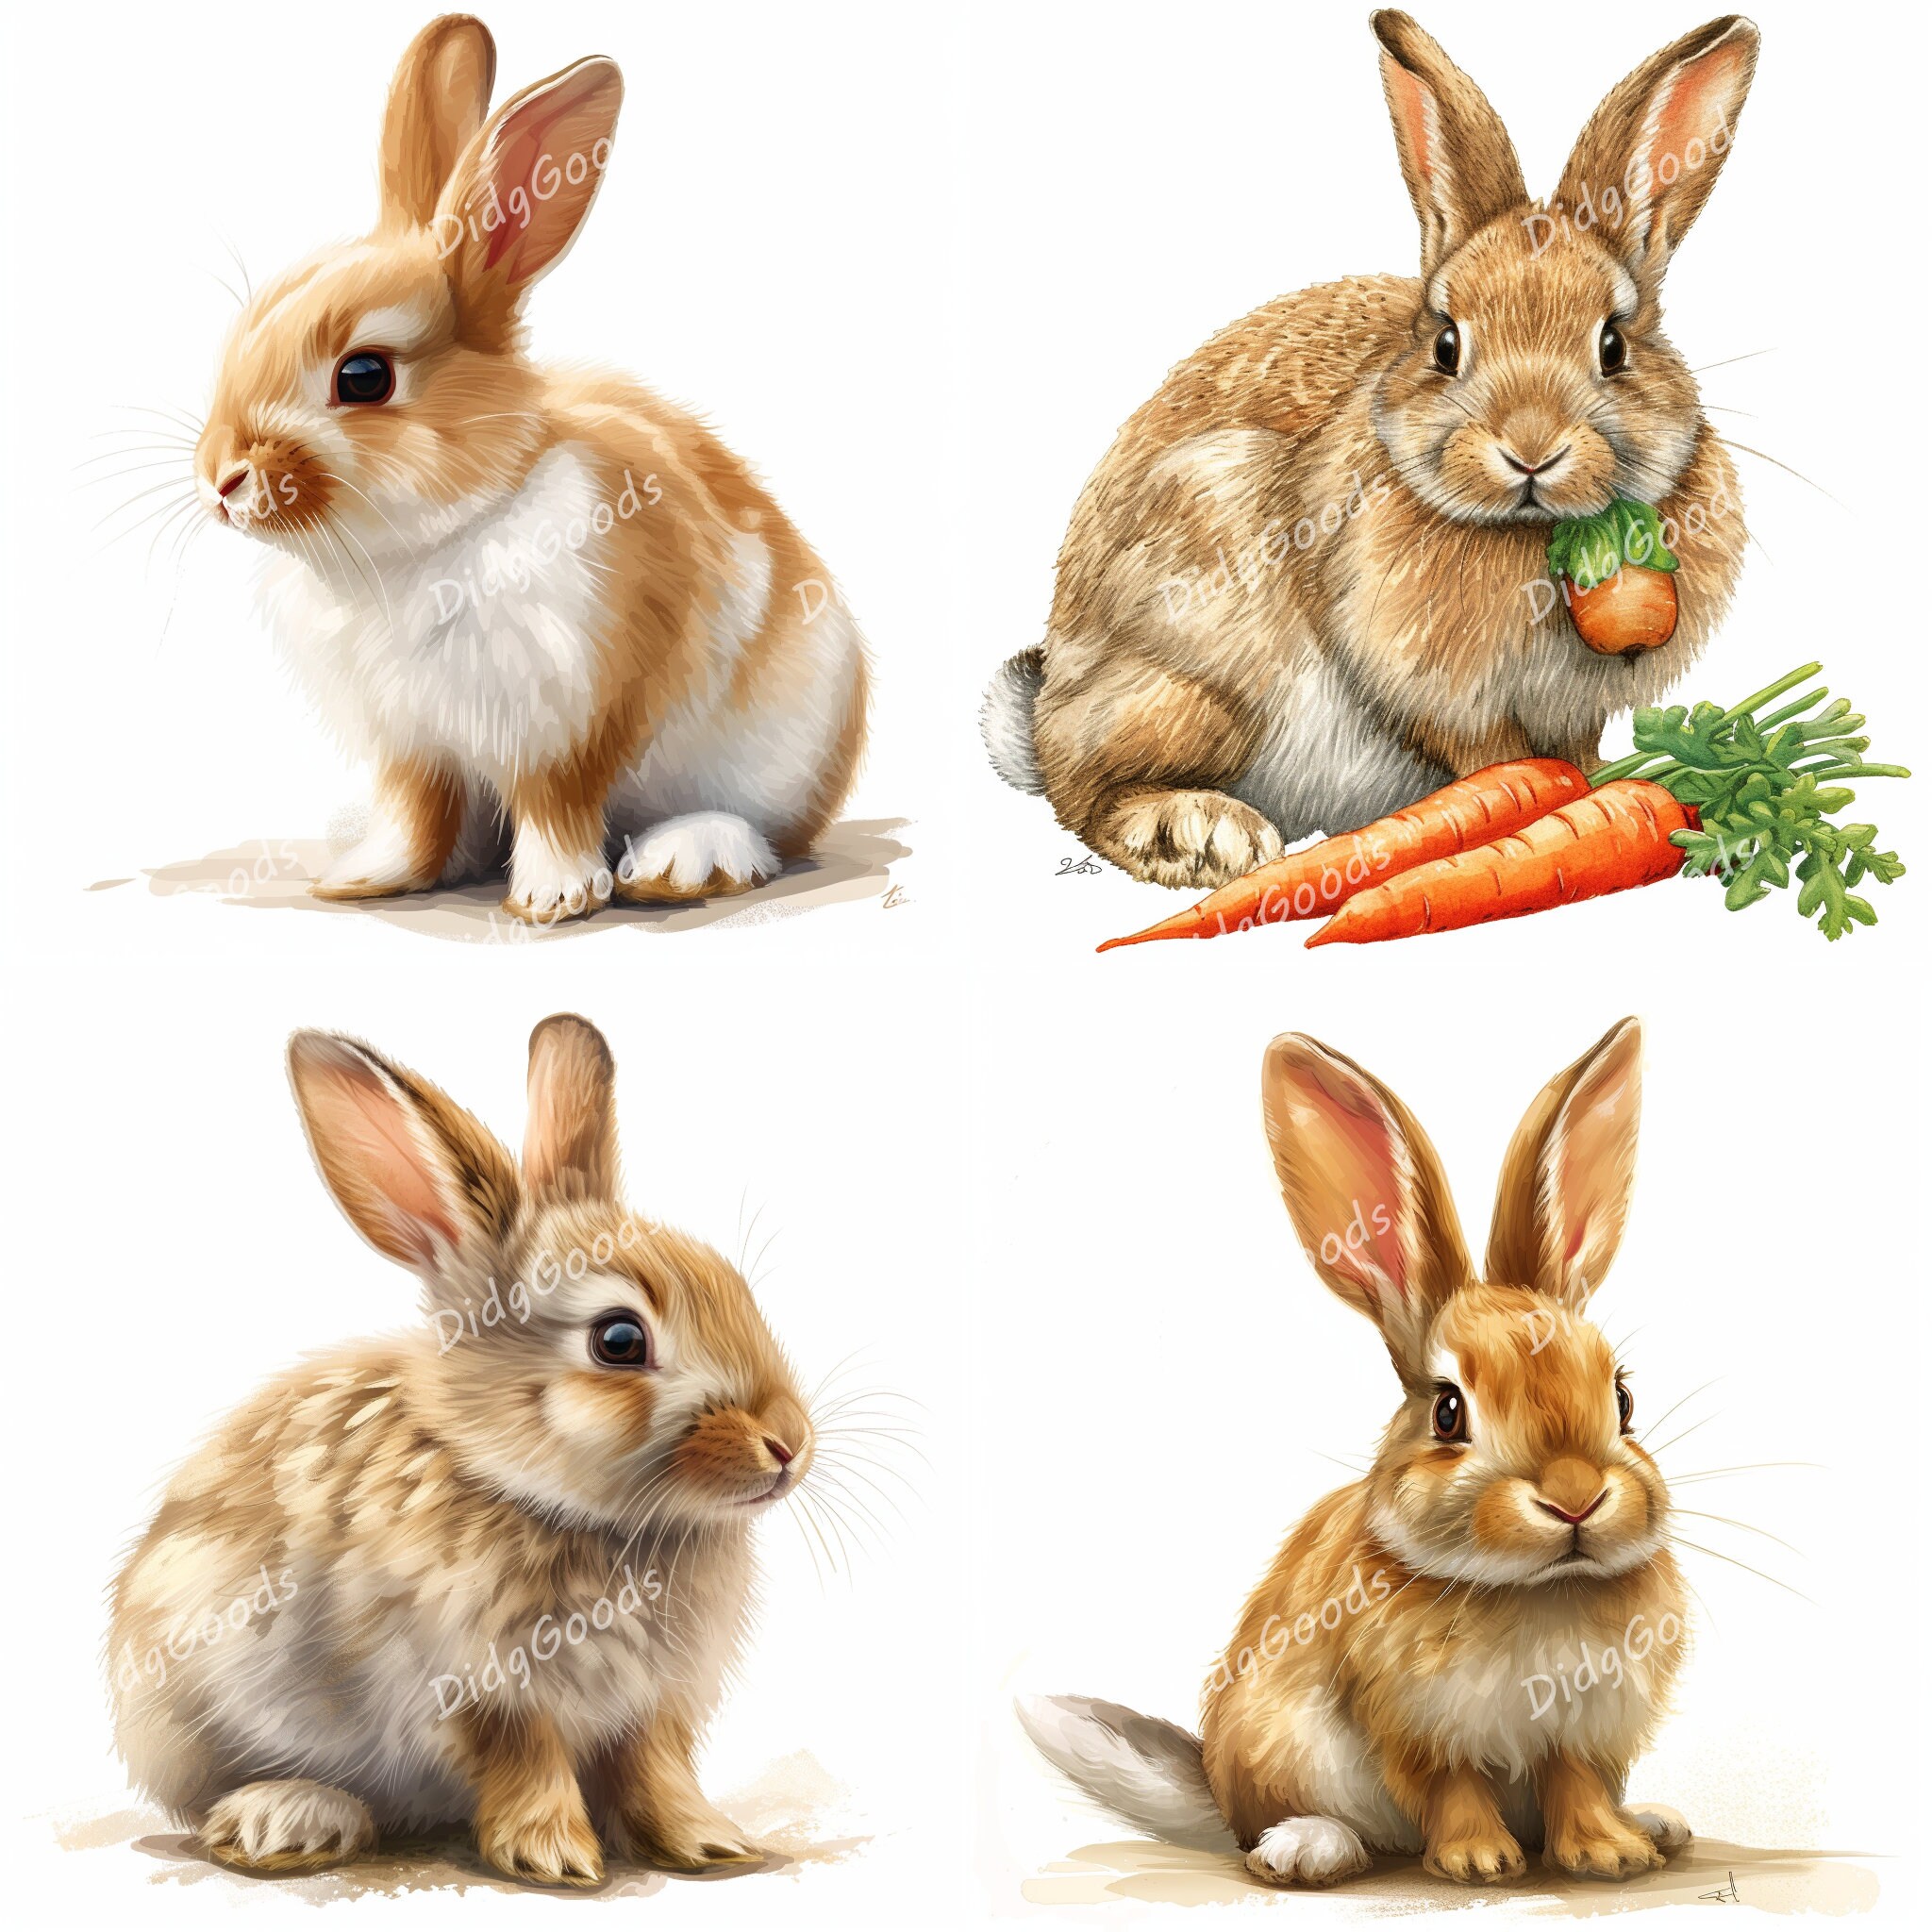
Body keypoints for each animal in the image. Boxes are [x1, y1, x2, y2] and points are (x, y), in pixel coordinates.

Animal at [108, 1014, 818, 1885]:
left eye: (737, 1289)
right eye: (619, 1339)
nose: (789, 1443)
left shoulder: (655, 1705)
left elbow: (655, 1771)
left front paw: (708, 1842)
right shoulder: (477, 1688)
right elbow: (527, 1761)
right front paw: (553, 1855)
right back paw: (288, 1818)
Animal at [194, 16, 868, 922]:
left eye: (364, 377)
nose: (221, 479)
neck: (428, 541)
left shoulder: (570, 724)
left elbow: (556, 805)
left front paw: (552, 899)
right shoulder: (413, 745)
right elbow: (417, 812)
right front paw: (366, 878)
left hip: (780, 749)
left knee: (760, 828)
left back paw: (683, 863)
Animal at [984, 12, 1755, 889]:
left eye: (1614, 346)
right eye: (1447, 345)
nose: (1529, 450)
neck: (1536, 535)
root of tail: (1044, 709)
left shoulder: (1572, 709)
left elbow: (1573, 754)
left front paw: (1608, 792)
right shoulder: (1430, 688)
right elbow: (1496, 759)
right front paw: (1549, 802)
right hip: (1195, 667)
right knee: (1088, 790)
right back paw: (1200, 831)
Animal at [1023, 1017, 1695, 1888]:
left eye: (1623, 1399)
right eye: (1448, 1411)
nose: (1575, 1496)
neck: (1536, 1591)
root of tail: (1213, 1779)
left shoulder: (1581, 1736)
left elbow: (1573, 1784)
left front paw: (1609, 1853)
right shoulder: (1412, 1728)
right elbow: (1452, 1789)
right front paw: (1479, 1861)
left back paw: (1654, 1822)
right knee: (1284, 1827)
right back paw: (1308, 1849)